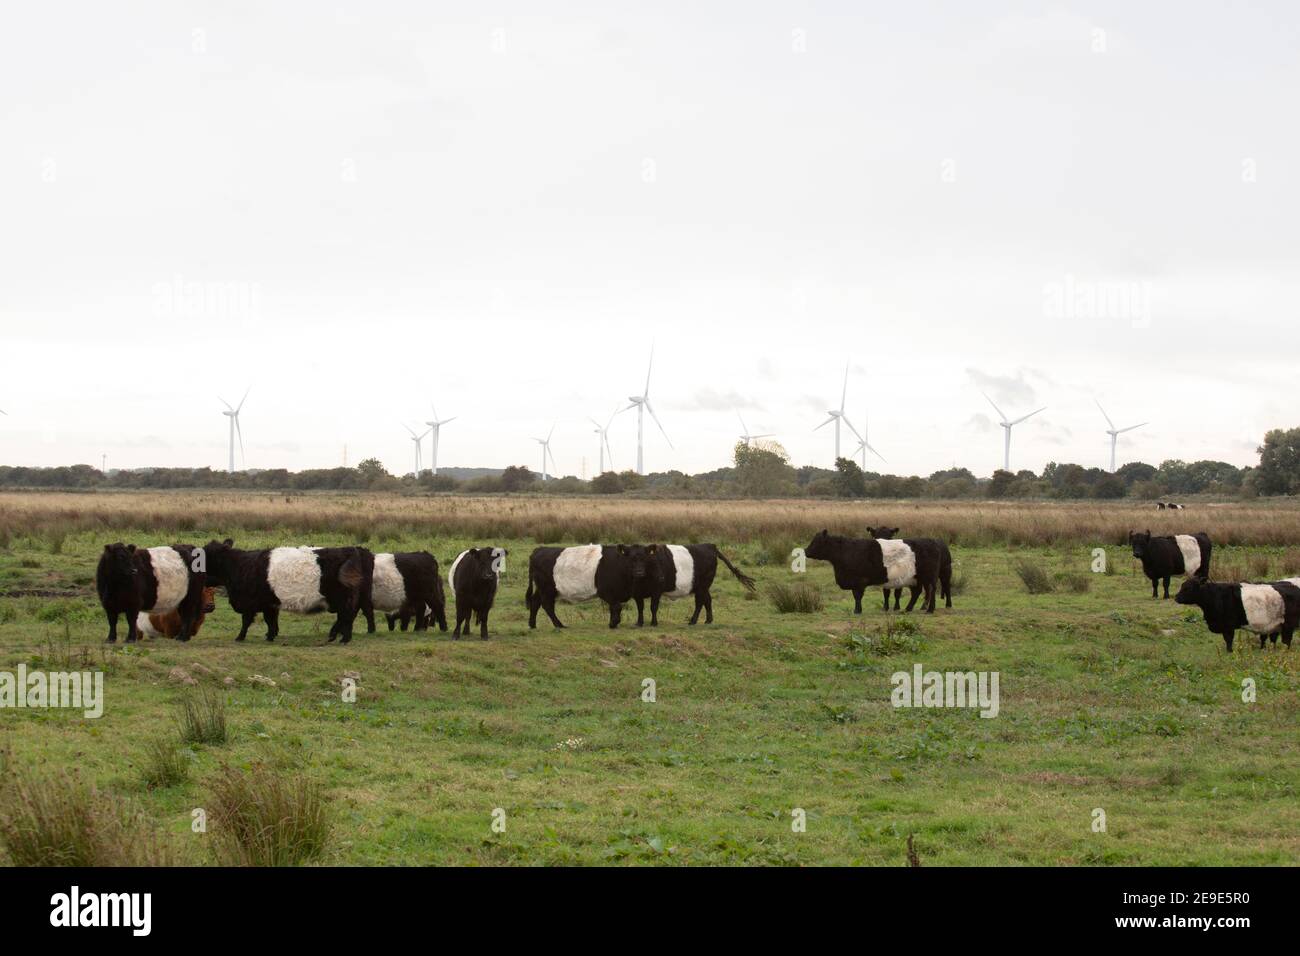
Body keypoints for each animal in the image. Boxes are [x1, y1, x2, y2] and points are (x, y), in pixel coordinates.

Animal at [200, 539, 371, 643]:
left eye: (205, 557)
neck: (239, 565)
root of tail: (350, 550)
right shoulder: (270, 604)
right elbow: (271, 621)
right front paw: (271, 635)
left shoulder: (250, 603)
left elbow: (247, 621)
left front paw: (240, 637)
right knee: (345, 617)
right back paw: (338, 637)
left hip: (342, 599)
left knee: (346, 616)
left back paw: (341, 638)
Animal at [526, 544, 659, 629]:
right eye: (631, 558)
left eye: (645, 558)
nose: (639, 572)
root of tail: (538, 550)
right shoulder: (605, 591)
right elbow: (617, 607)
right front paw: (613, 623)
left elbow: (613, 608)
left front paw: (613, 623)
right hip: (546, 588)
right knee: (547, 605)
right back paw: (559, 625)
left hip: (542, 588)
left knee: (535, 601)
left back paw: (532, 624)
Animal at [803, 529, 942, 614]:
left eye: (817, 542)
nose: (806, 551)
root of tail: (932, 541)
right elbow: (855, 596)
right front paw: (857, 610)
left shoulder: (859, 581)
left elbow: (858, 596)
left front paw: (857, 611)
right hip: (915, 578)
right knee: (916, 592)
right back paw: (908, 609)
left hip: (929, 577)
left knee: (931, 590)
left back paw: (930, 609)